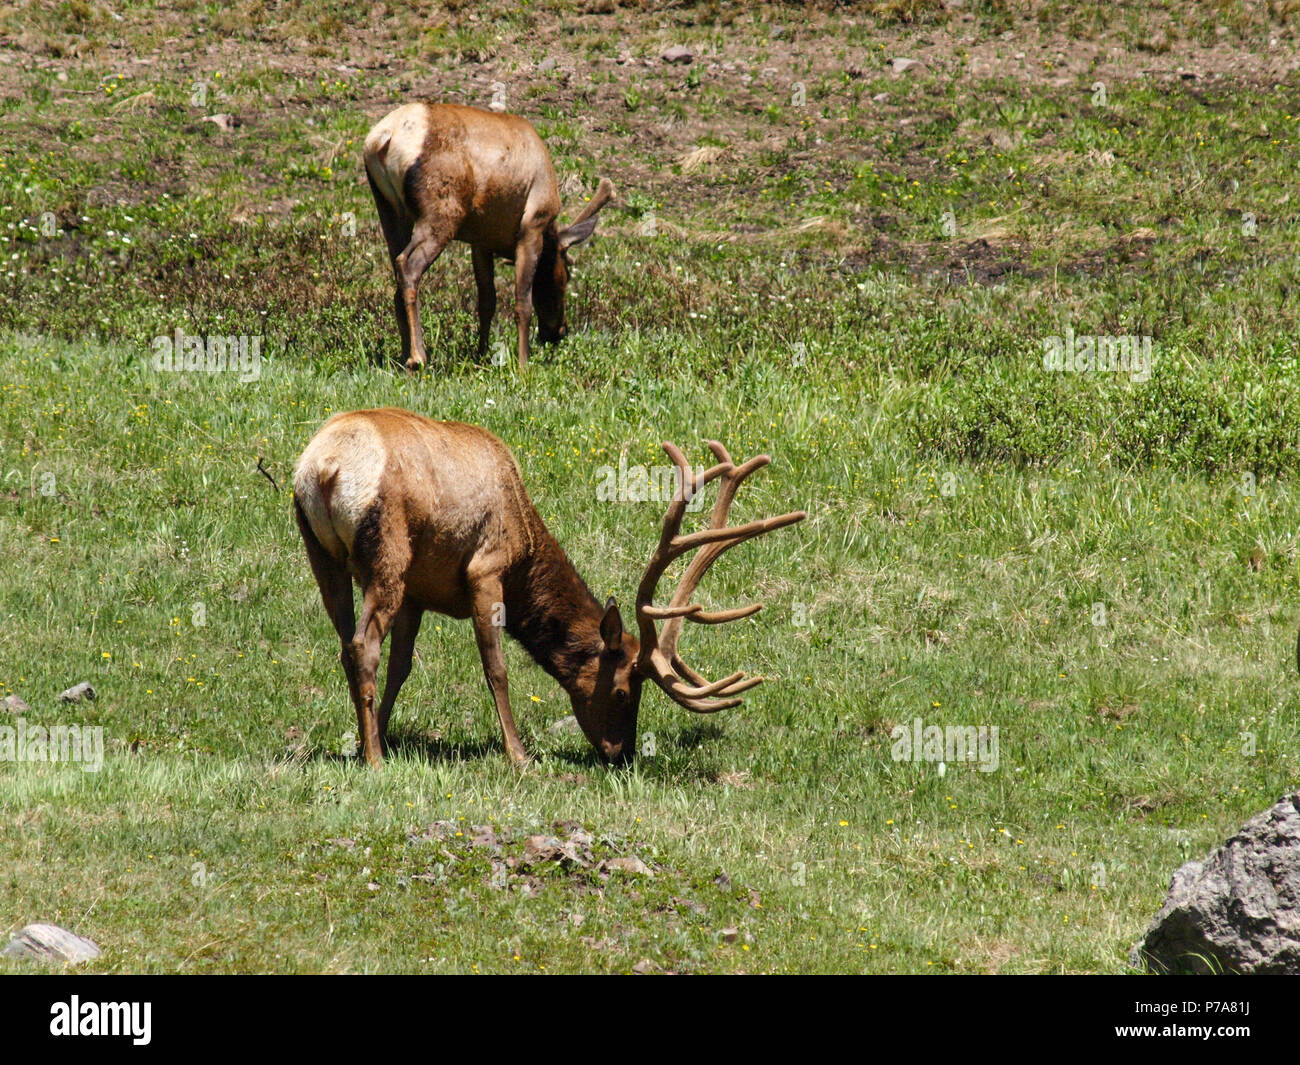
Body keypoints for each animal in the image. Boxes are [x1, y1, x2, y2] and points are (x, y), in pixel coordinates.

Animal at [292, 408, 805, 767]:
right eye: (624, 692)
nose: (621, 753)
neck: (525, 550)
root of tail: (324, 469)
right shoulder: (485, 570)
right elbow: (496, 668)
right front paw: (518, 754)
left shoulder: (419, 591)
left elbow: (402, 667)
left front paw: (377, 733)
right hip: (388, 553)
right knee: (362, 645)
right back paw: (376, 762)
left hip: (322, 553)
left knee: (346, 643)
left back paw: (366, 748)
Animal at [363, 102, 615, 372]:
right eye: (566, 275)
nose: (559, 331)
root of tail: (383, 138)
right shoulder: (532, 225)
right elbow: (522, 301)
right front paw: (523, 364)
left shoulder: (481, 241)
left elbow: (487, 300)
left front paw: (482, 354)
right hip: (440, 212)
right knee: (408, 265)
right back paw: (417, 356)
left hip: (389, 208)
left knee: (396, 268)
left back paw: (402, 354)